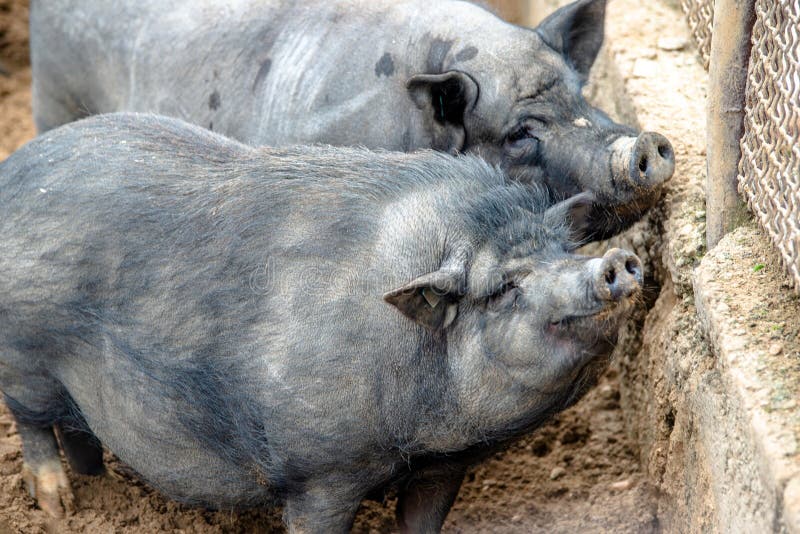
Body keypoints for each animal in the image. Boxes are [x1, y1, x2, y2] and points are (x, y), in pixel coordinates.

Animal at [0, 113, 643, 532]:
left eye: (562, 250)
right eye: (505, 286)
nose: (614, 262)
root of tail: (13, 173)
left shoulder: (443, 466)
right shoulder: (320, 474)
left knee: (78, 430)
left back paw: (101, 493)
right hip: (24, 358)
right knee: (33, 425)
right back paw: (59, 509)